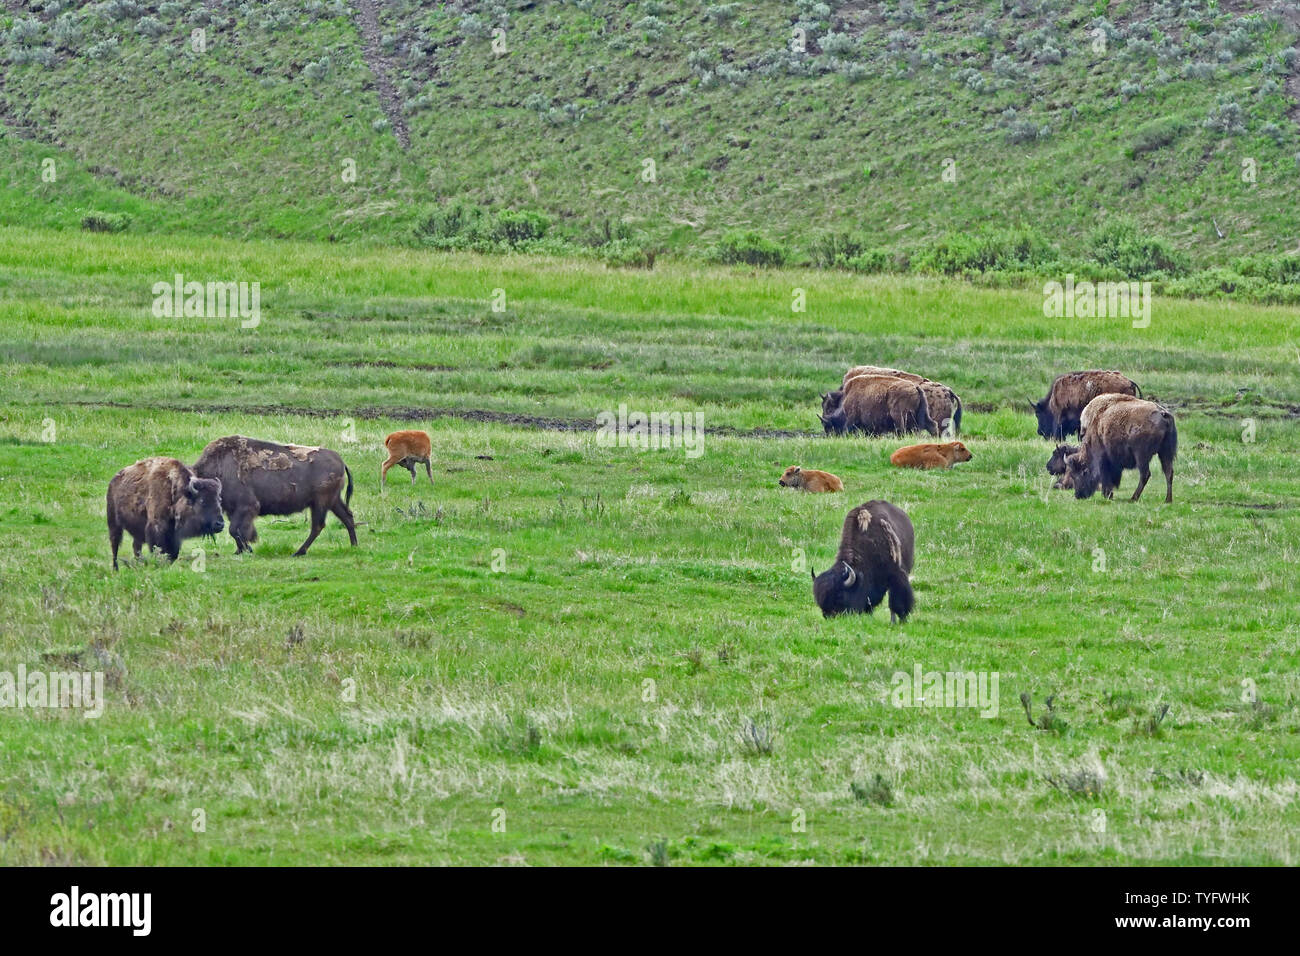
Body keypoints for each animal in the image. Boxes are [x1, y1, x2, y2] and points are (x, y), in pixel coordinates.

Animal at [192, 436, 357, 556]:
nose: (216, 525)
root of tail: (341, 461)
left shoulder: (246, 506)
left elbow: (235, 530)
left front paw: (246, 549)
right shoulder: (234, 510)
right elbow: (237, 530)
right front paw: (241, 550)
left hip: (320, 503)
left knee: (318, 525)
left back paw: (299, 552)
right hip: (332, 501)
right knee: (347, 517)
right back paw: (354, 546)